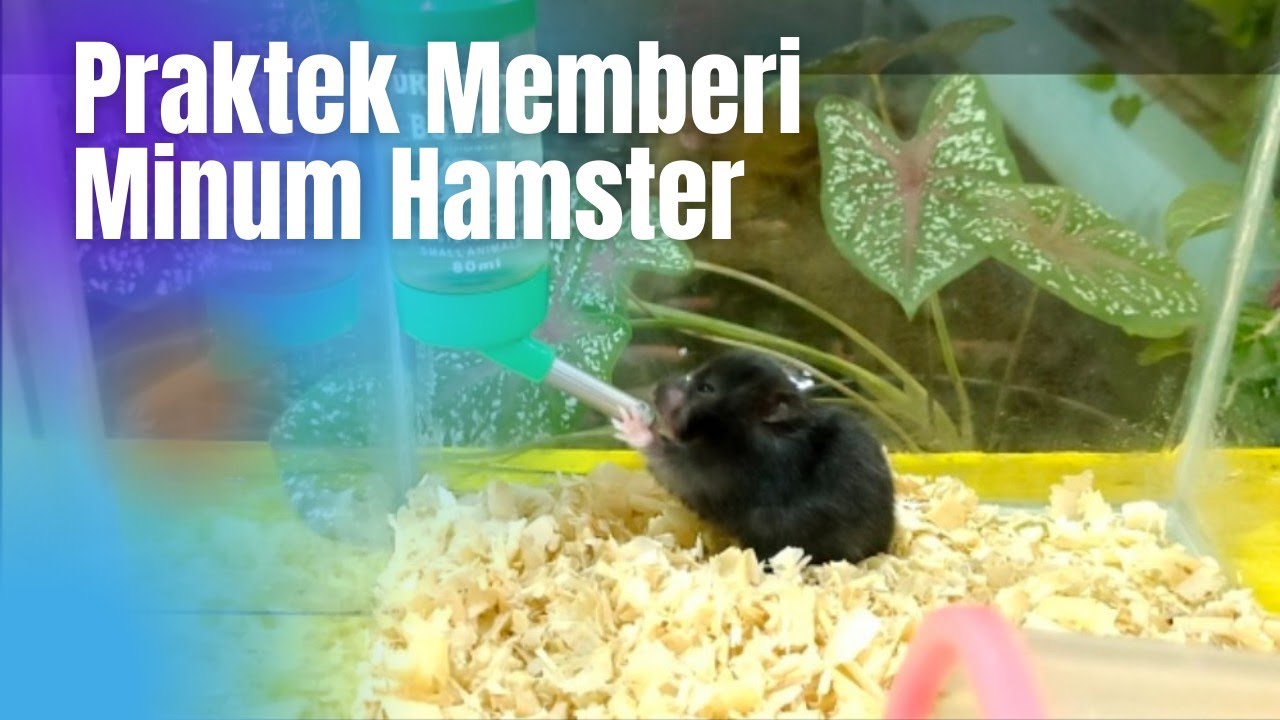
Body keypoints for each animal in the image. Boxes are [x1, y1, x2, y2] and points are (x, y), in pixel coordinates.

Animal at [613, 349, 896, 566]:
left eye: (706, 388)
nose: (654, 390)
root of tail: (883, 546)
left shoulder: (714, 474)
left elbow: (668, 460)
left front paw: (630, 423)